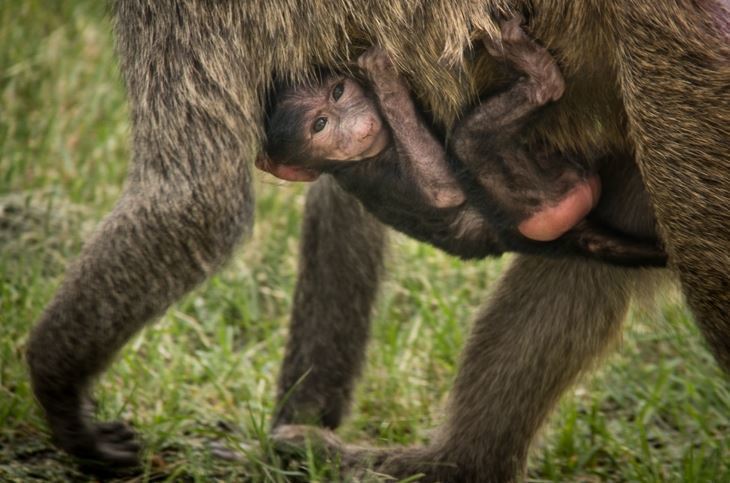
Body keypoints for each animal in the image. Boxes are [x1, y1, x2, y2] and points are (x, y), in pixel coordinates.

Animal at [258, 18, 667, 267]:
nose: (356, 125)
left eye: (338, 93)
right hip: (537, 204)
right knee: (468, 141)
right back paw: (541, 79)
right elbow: (443, 191)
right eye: (320, 125)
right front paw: (379, 72)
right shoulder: (367, 172)